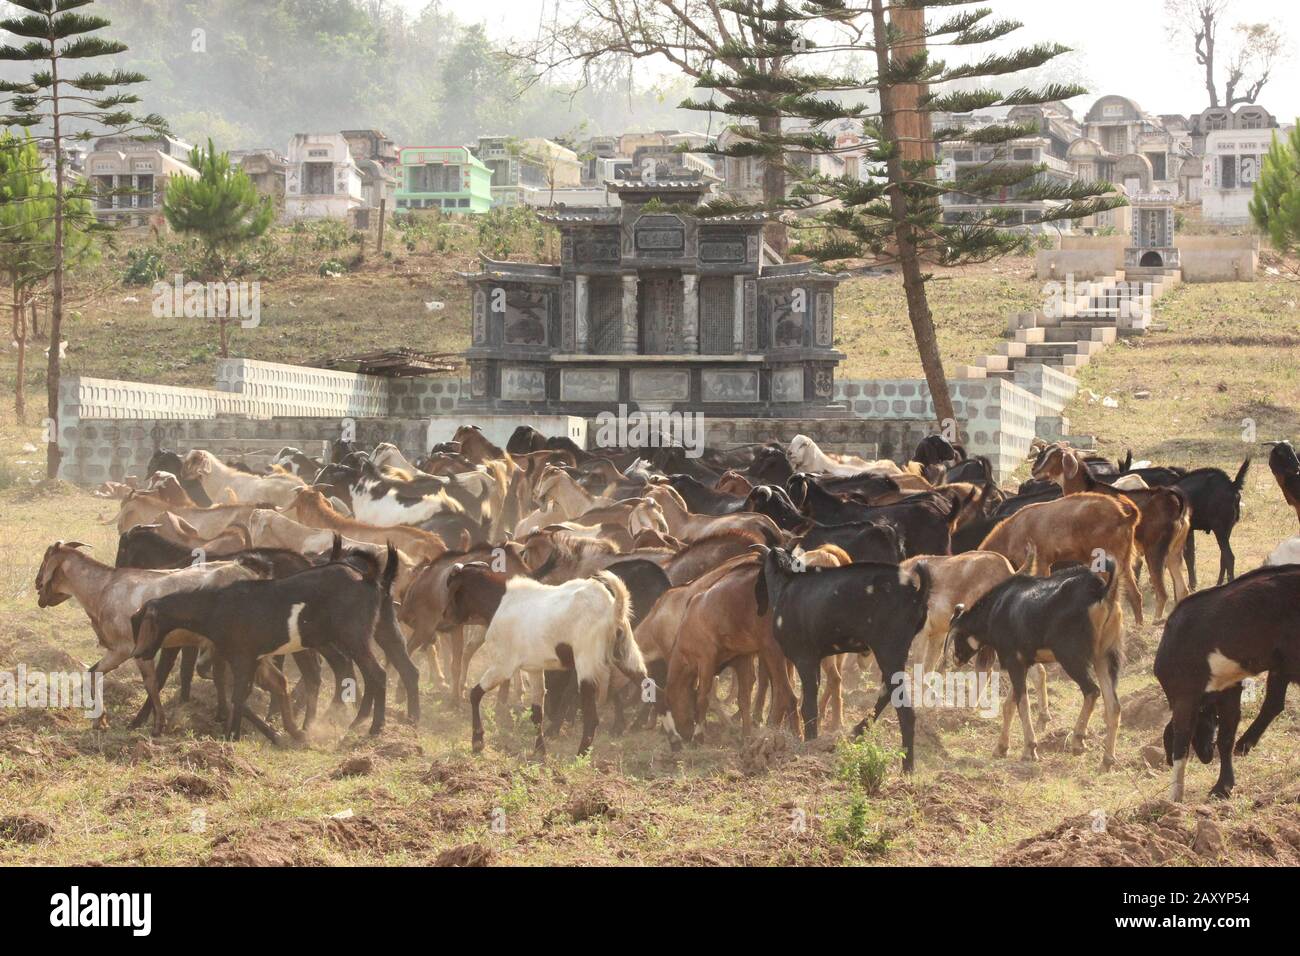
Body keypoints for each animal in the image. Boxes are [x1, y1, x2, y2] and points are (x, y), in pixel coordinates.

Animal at [948, 554, 1124, 767]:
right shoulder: (1024, 663)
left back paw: (1077, 740)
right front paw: (1001, 748)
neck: (997, 608)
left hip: (1071, 658)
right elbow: (1010, 705)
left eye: (957, 636)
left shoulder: (1014, 661)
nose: (956, 659)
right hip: (1104, 658)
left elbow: (1022, 704)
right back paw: (1107, 759)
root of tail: (1102, 592)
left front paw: (1029, 750)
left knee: (1092, 691)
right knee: (1113, 705)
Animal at [1155, 564, 1300, 800]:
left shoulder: (1185, 694)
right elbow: (1225, 738)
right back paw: (1244, 744)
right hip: (1282, 664)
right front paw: (1223, 787)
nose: (1206, 755)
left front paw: (1174, 797)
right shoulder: (1228, 689)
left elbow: (1180, 742)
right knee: (1274, 703)